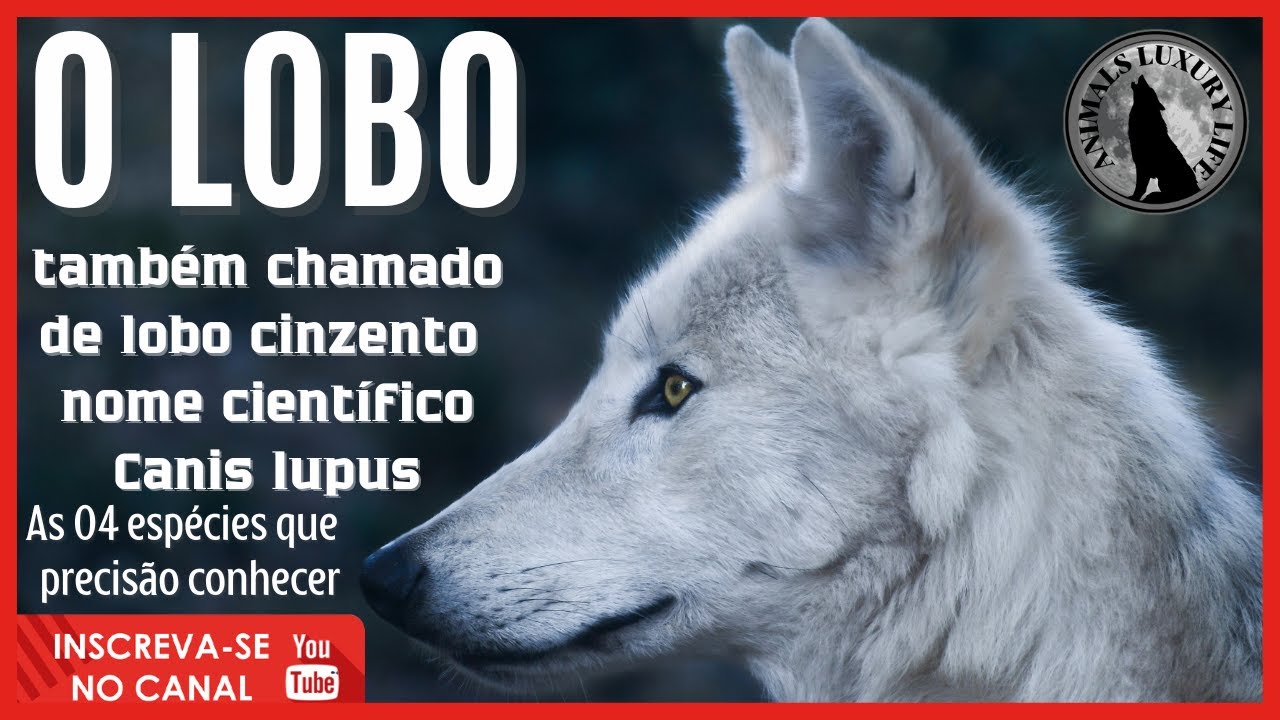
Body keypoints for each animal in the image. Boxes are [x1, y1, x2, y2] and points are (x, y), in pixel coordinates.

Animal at [1127, 74, 1199, 203]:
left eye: (1149, 88)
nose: (1142, 75)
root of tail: (1196, 188)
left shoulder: (1142, 166)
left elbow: (1140, 187)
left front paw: (1134, 198)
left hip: (1164, 180)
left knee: (1172, 195)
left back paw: (1154, 196)